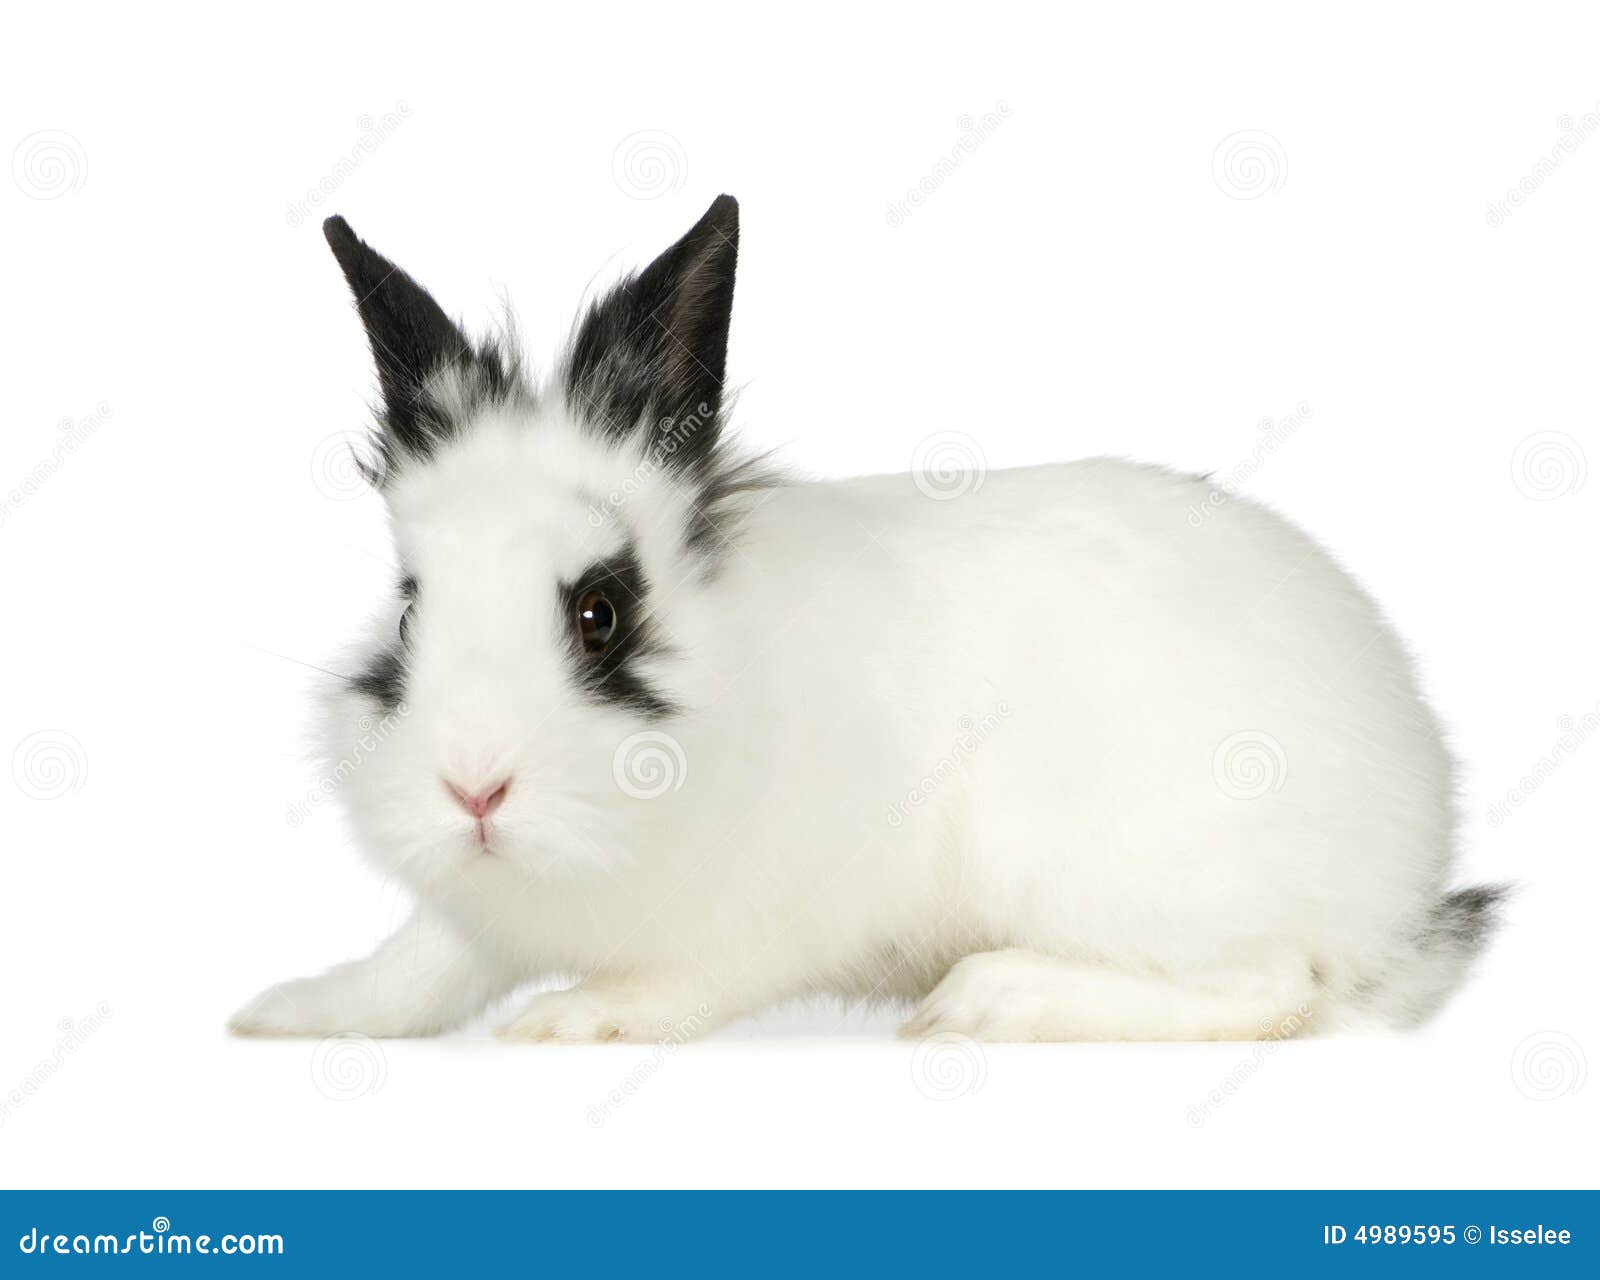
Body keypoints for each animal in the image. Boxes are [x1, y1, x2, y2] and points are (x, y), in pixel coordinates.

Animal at [230, 194, 1502, 1044]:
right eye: (408, 608)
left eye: (599, 612)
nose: (473, 790)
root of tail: (1404, 872)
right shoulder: (467, 922)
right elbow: (417, 966)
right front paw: (287, 1010)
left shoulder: (766, 918)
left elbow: (684, 984)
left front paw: (568, 1019)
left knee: (1278, 986)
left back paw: (986, 998)